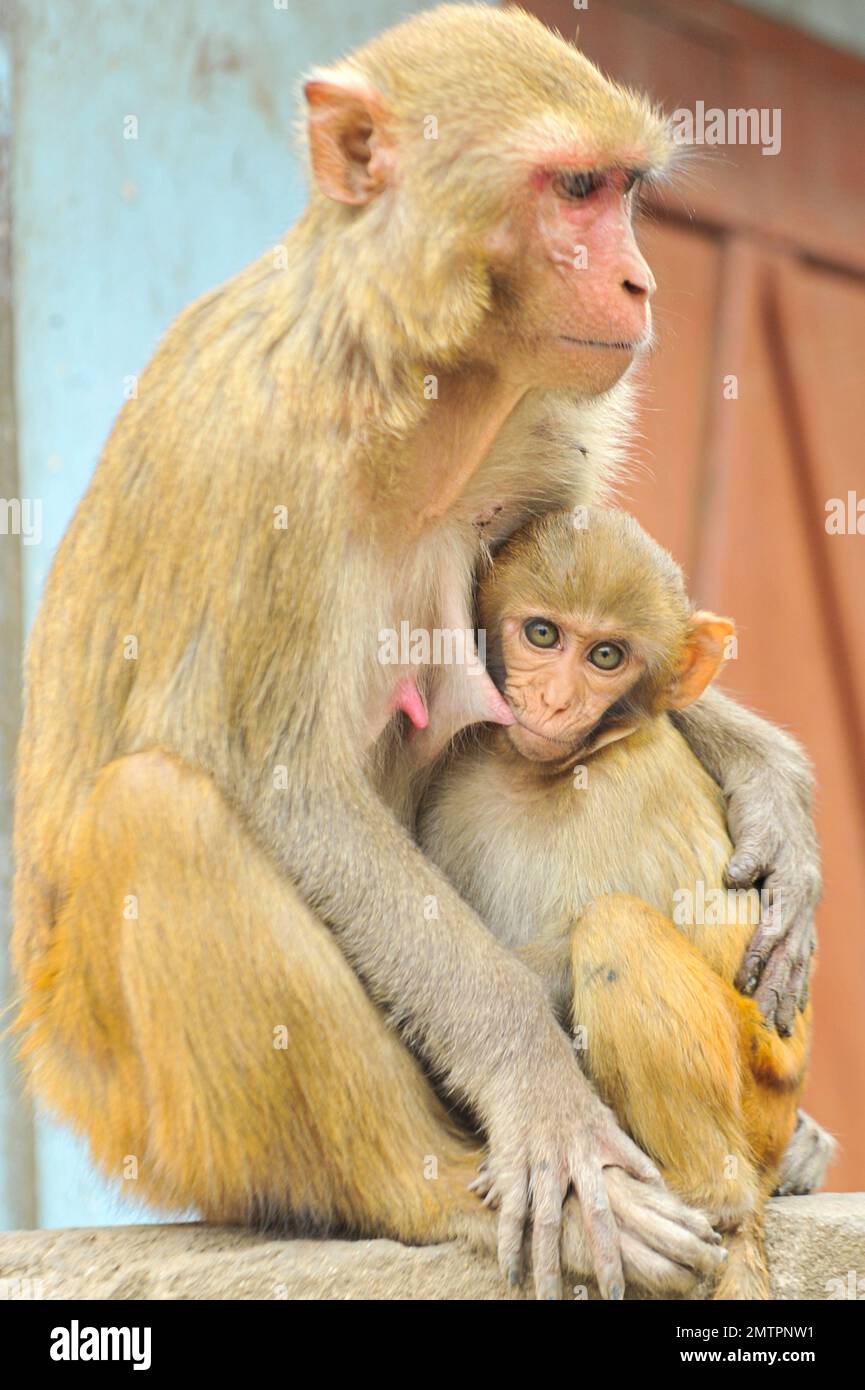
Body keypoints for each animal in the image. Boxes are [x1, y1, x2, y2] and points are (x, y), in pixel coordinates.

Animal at [417, 506, 813, 1299]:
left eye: (606, 656)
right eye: (543, 635)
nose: (554, 700)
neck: (544, 774)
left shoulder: (629, 789)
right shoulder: (455, 784)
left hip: (759, 1107)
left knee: (614, 932)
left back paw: (710, 1209)